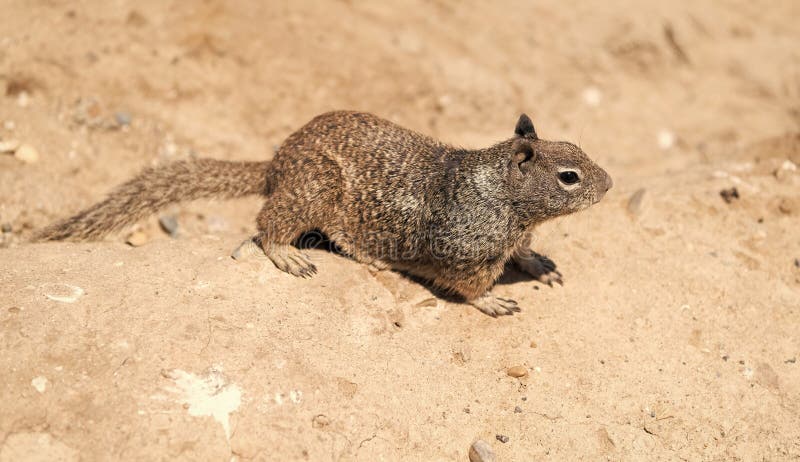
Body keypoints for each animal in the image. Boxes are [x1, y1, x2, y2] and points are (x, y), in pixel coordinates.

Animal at [34, 111, 612, 316]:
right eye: (570, 176)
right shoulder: (466, 250)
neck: (503, 197)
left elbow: (524, 251)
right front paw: (493, 301)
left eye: (582, 148)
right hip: (313, 191)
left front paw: (539, 264)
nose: (609, 183)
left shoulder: (514, 235)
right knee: (266, 226)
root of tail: (276, 162)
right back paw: (286, 254)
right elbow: (468, 286)